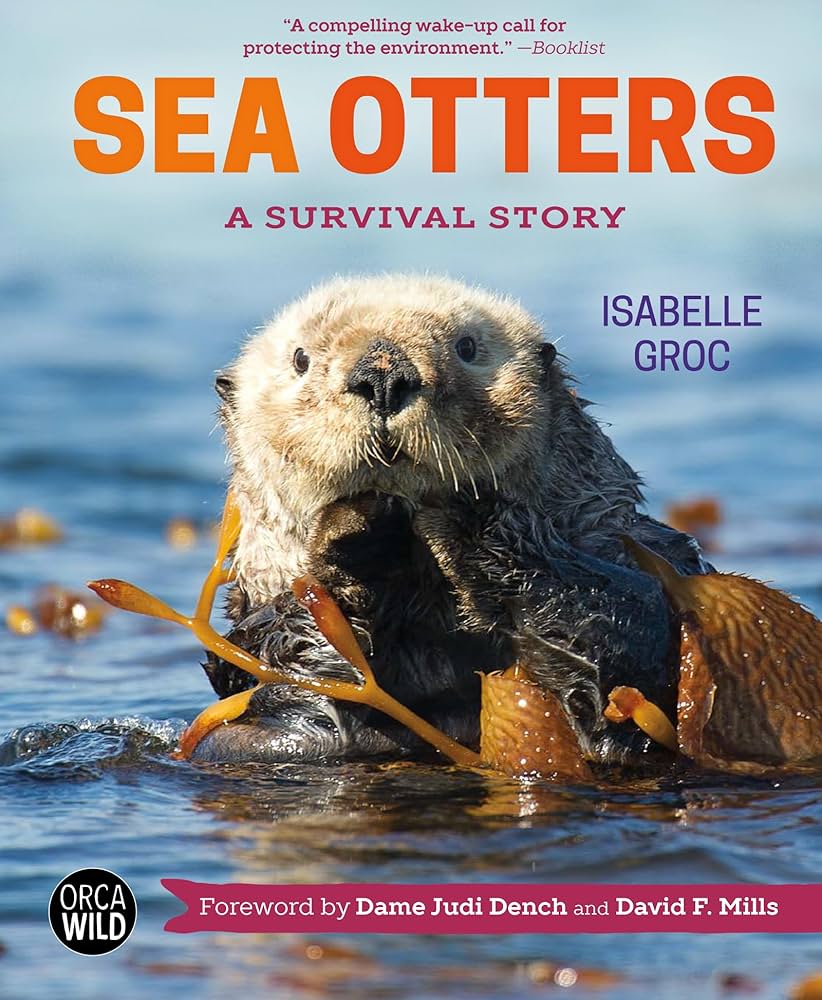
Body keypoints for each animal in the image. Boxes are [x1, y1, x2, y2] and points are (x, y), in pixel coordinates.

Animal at [194, 275, 709, 767]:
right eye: (300, 359)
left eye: (467, 347)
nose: (383, 376)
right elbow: (285, 703)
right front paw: (355, 531)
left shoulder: (628, 549)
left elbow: (636, 647)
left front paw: (466, 514)